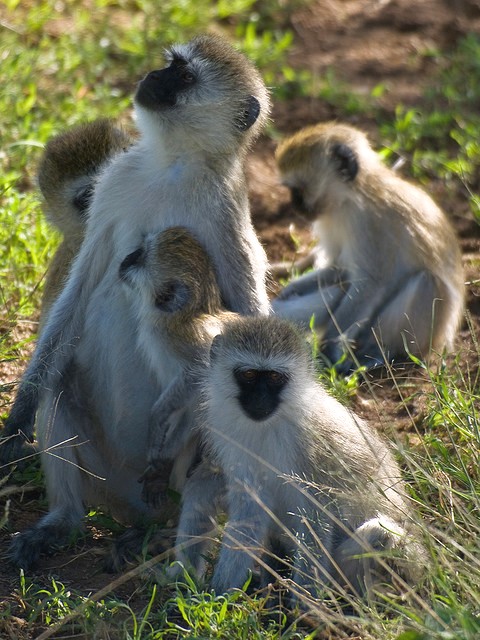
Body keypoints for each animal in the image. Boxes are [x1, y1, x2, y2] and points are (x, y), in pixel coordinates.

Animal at [171, 316, 426, 602]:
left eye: (274, 377)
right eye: (248, 375)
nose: (260, 400)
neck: (269, 424)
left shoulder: (312, 448)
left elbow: (315, 517)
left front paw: (304, 606)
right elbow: (250, 511)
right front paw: (220, 593)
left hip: (408, 564)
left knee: (381, 533)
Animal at [271, 122, 465, 373]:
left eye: (298, 191)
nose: (294, 206)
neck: (351, 195)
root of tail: (442, 340)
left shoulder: (368, 222)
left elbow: (371, 283)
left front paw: (327, 348)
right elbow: (341, 269)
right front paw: (291, 288)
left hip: (427, 335)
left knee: (426, 282)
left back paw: (379, 353)